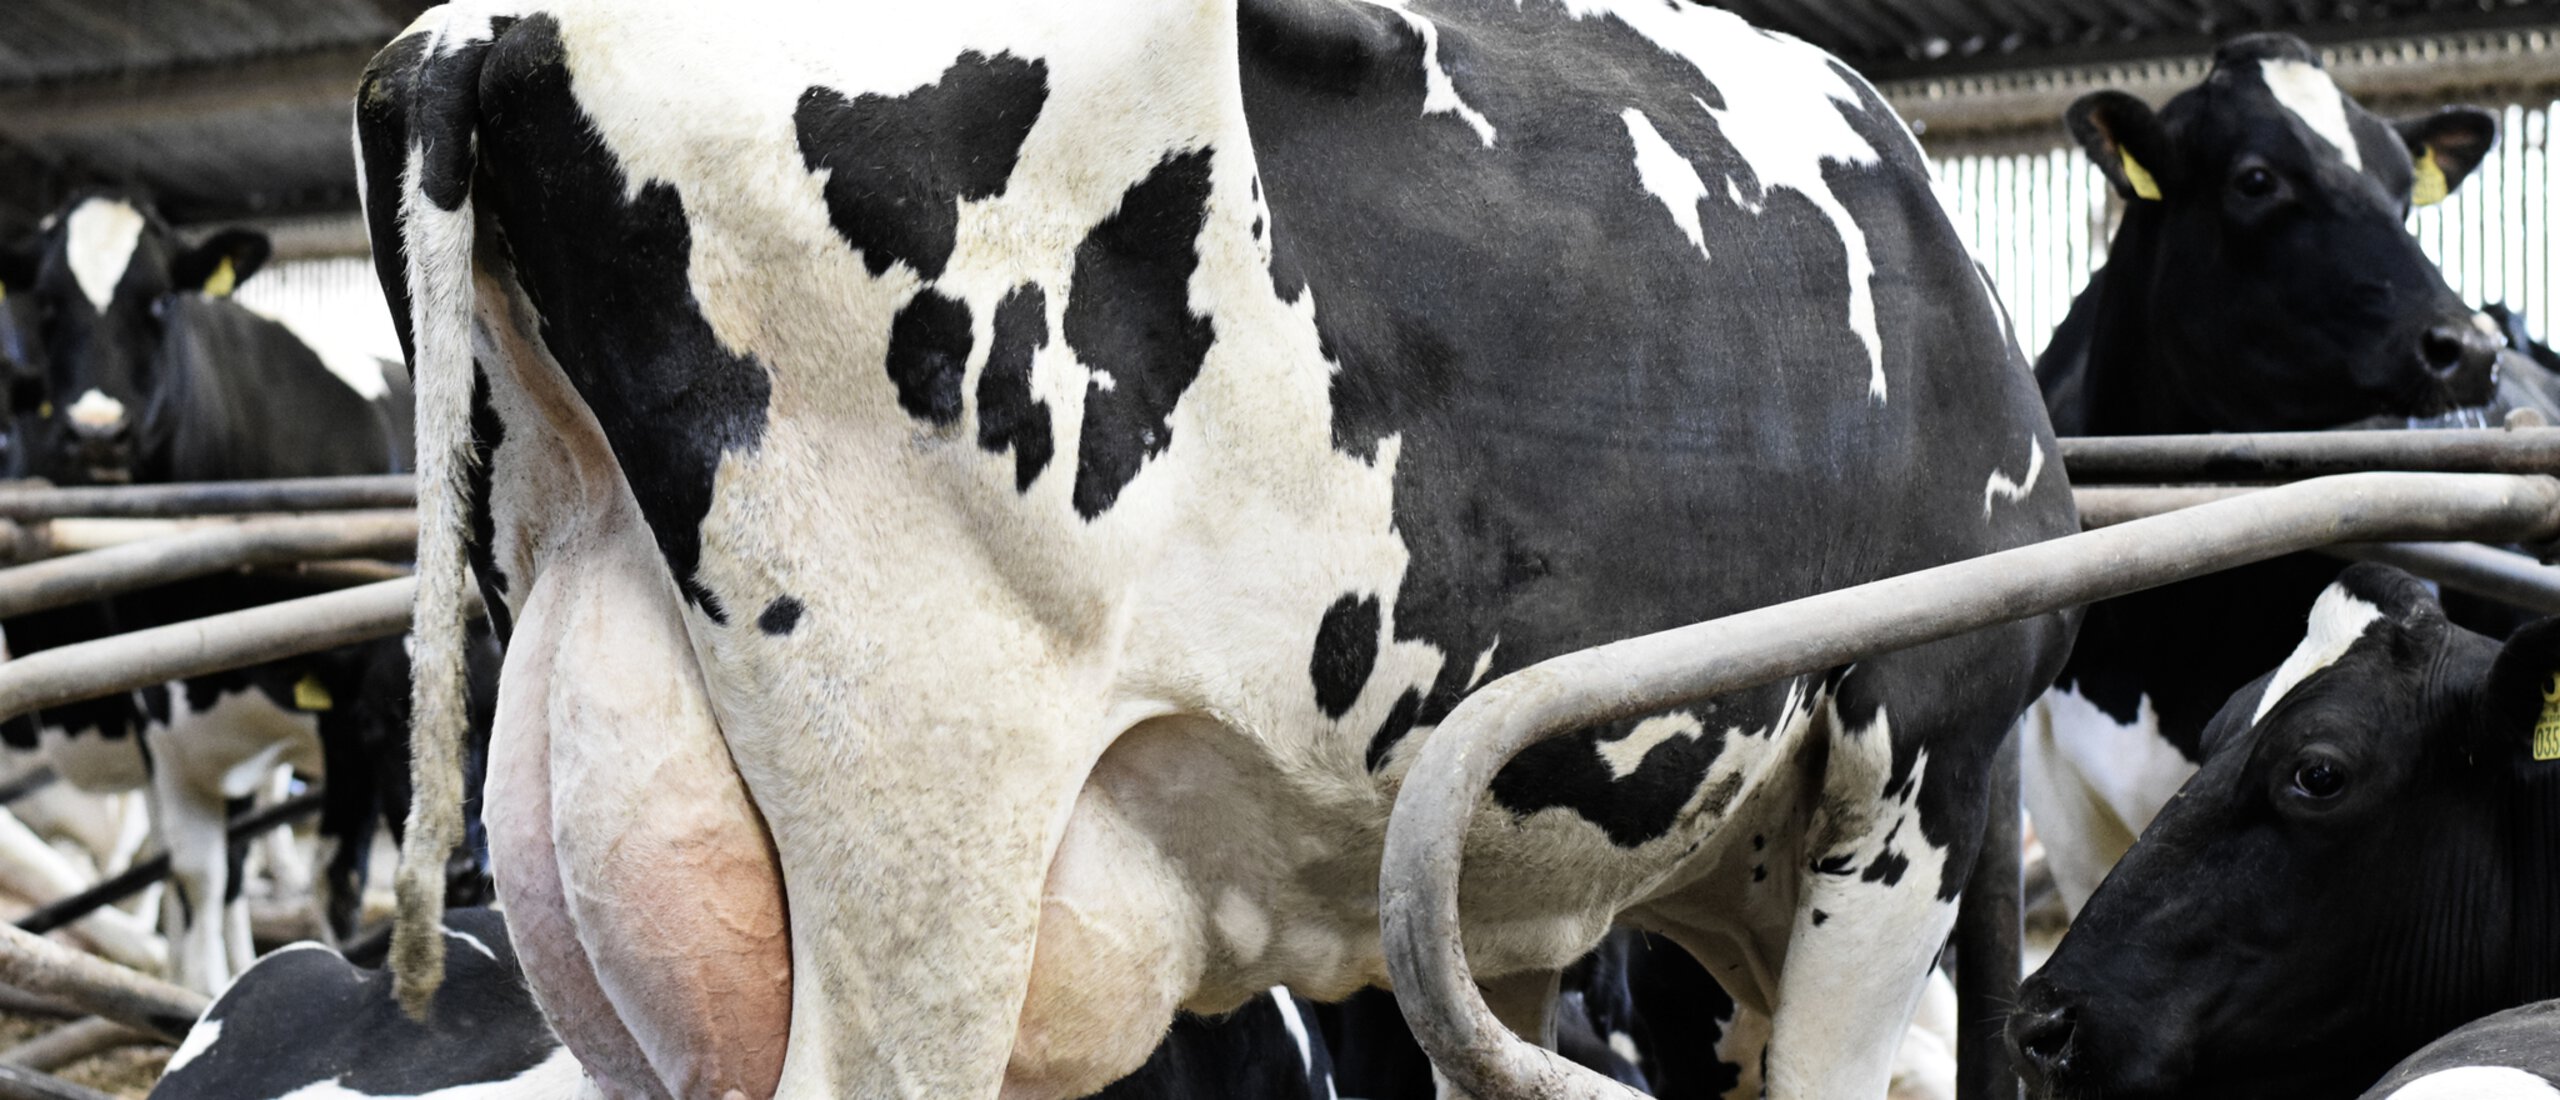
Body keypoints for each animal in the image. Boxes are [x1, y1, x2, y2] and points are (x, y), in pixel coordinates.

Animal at [0, 193, 424, 990]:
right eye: (45, 303)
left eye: (161, 300)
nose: (97, 432)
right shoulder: (164, 713)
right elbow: (198, 874)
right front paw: (201, 984)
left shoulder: (360, 709)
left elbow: (336, 881)